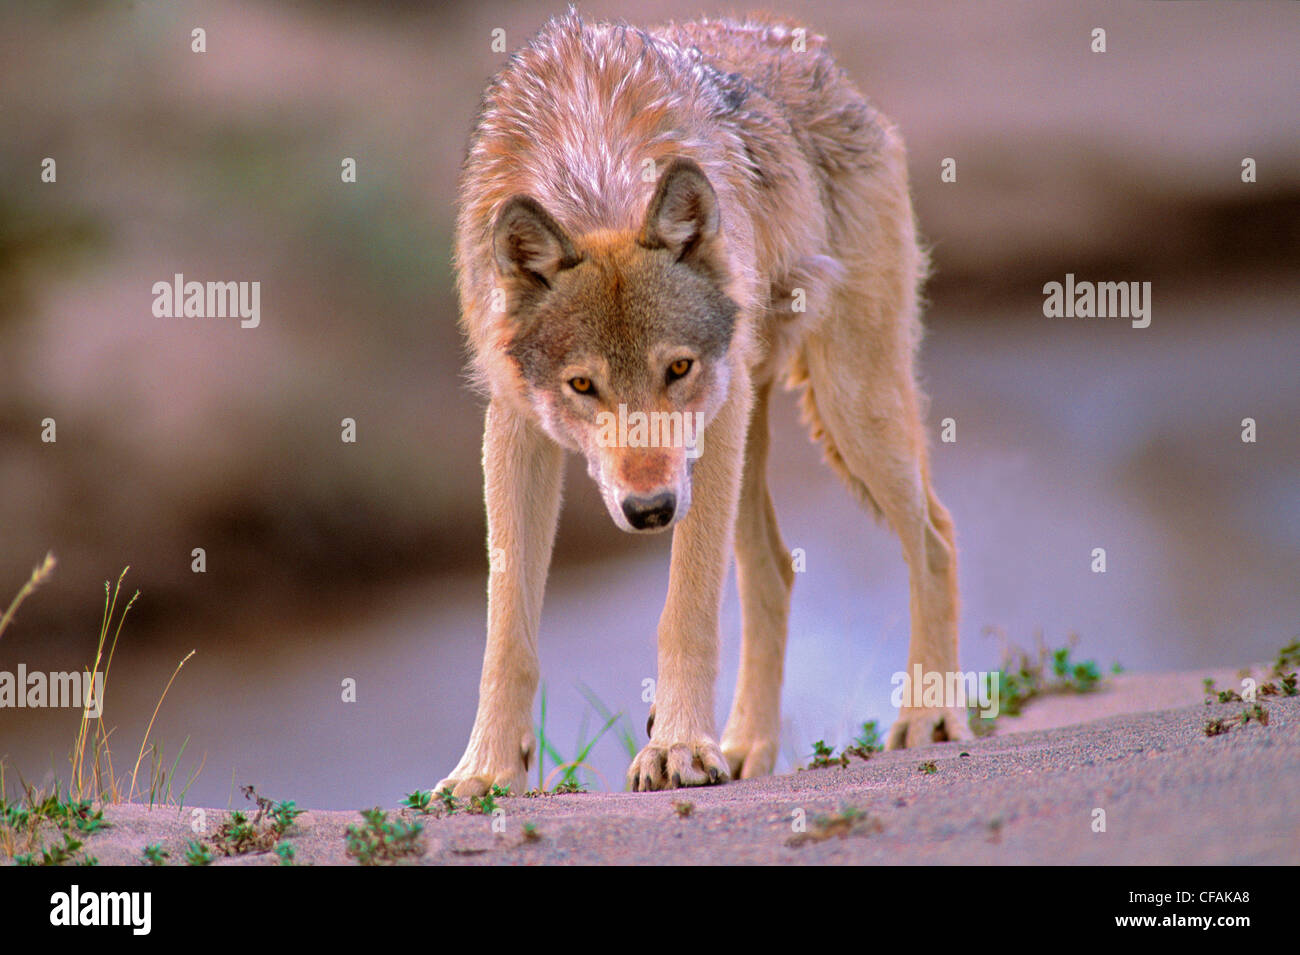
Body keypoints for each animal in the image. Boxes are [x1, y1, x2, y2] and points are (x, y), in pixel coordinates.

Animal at [439, 11, 967, 795]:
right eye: (583, 386)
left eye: (678, 368)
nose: (649, 510)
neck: (593, 165)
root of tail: (818, 55)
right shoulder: (513, 424)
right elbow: (507, 631)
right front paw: (485, 772)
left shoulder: (714, 412)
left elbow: (685, 609)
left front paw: (679, 748)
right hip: (750, 439)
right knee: (774, 569)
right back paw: (748, 746)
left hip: (844, 408)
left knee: (935, 535)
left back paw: (929, 718)